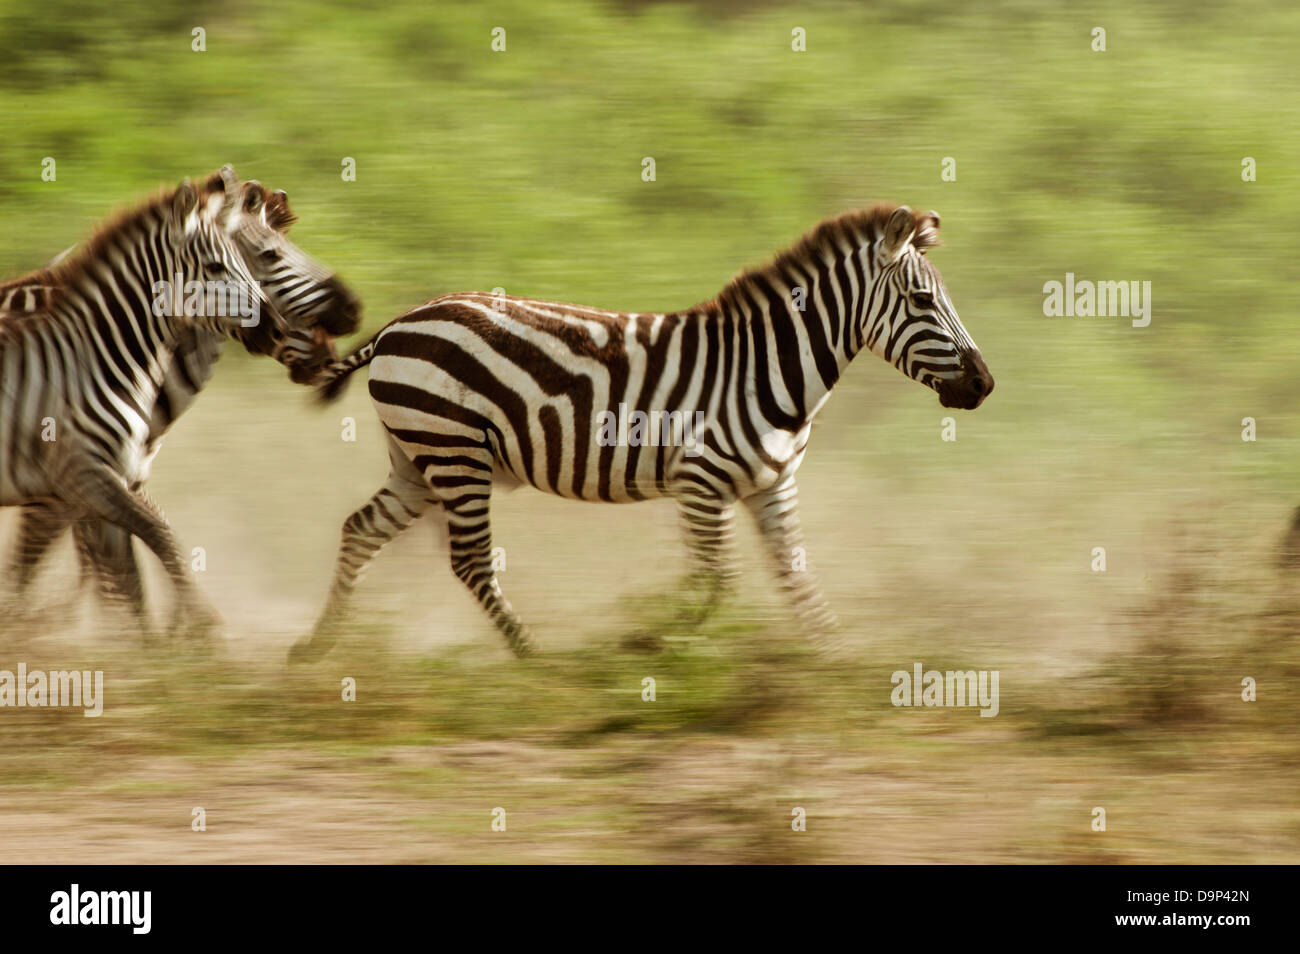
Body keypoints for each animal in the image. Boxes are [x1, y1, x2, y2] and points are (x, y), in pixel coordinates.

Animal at [0, 166, 361, 623]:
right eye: (268, 256)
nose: (353, 311)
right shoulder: (63, 492)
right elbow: (58, 577)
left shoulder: (102, 487)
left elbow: (128, 579)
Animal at [289, 204, 993, 660]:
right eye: (924, 302)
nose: (984, 385)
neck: (765, 369)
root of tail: (399, 323)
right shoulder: (702, 483)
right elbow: (717, 583)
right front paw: (655, 644)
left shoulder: (771, 484)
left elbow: (797, 576)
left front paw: (836, 656)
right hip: (455, 450)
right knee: (470, 561)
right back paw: (534, 657)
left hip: (418, 457)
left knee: (360, 529)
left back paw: (316, 647)